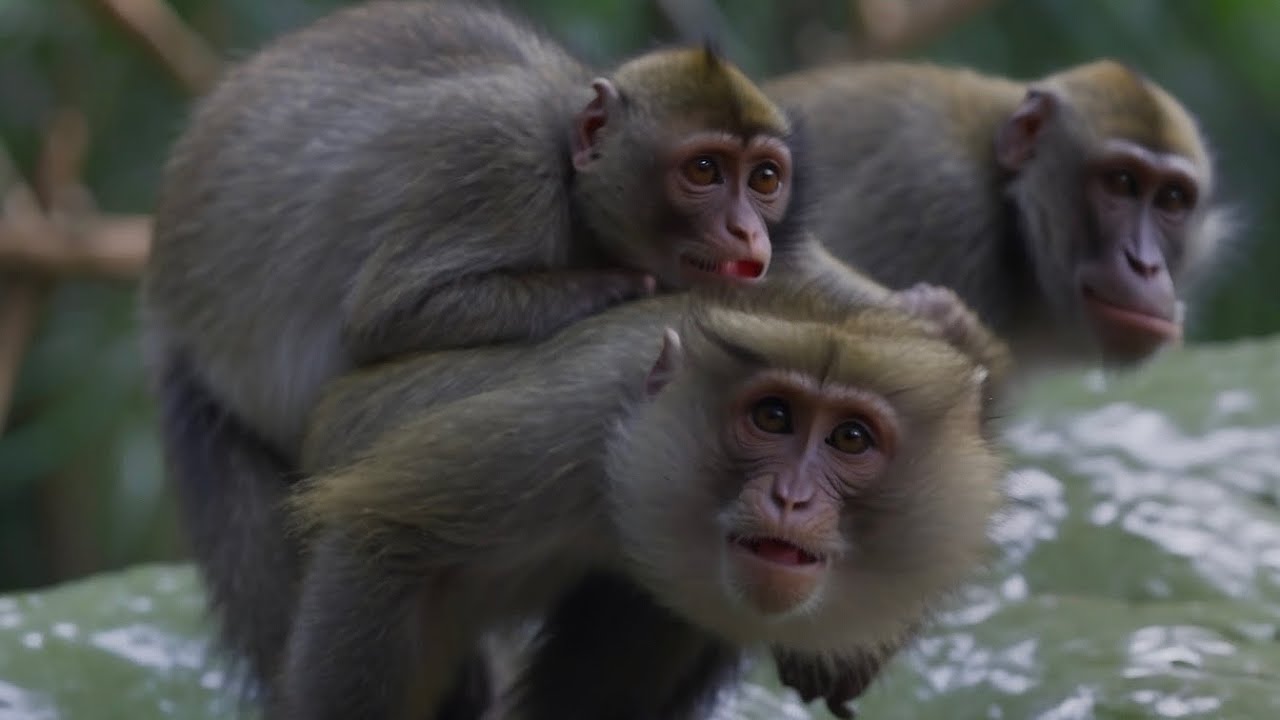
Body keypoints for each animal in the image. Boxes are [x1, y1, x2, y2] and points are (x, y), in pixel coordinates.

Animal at [137, 0, 889, 697]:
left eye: (764, 179)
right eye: (705, 169)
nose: (746, 232)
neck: (569, 164)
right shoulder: (500, 165)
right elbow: (392, 316)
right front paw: (620, 286)